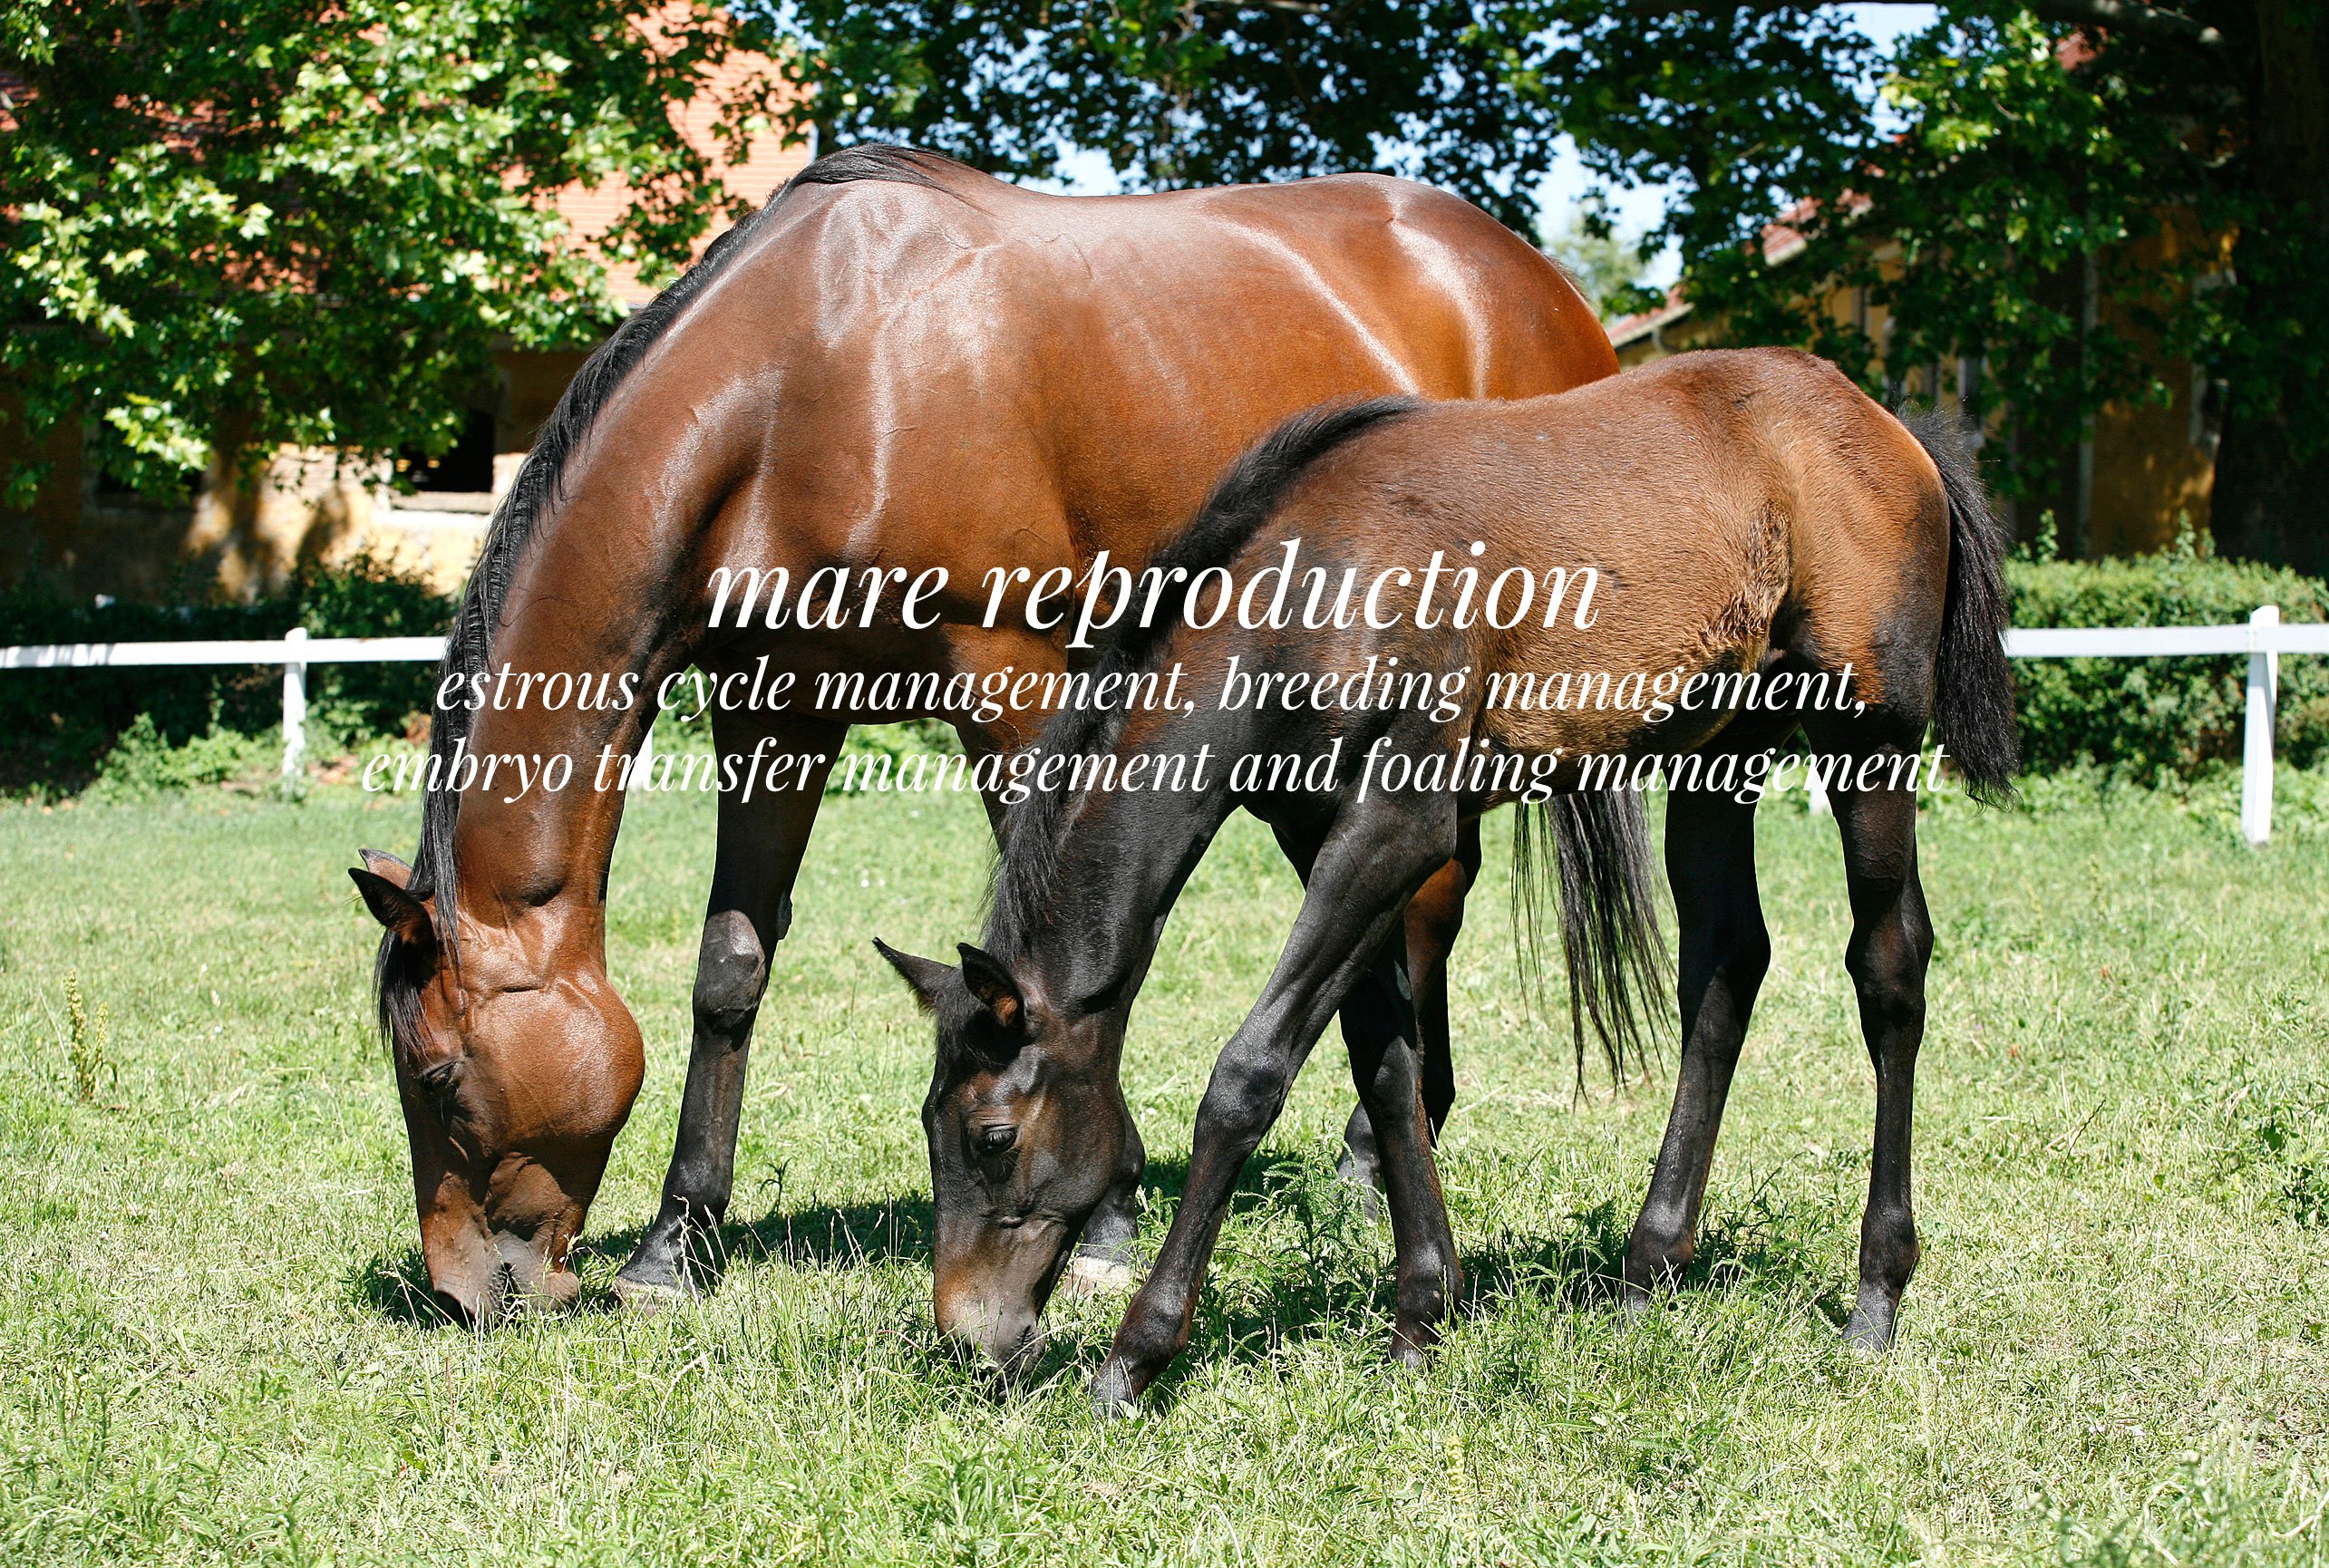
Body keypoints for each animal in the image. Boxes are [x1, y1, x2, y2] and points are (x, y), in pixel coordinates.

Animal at [346, 143, 1618, 1323]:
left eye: (437, 1074)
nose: (464, 1293)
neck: (814, 377)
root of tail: (1531, 277)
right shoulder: (776, 705)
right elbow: (729, 969)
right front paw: (675, 1244)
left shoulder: (1010, 679)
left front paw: (1106, 1220)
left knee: (1427, 899)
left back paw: (1367, 1157)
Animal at [877, 348, 2018, 1404]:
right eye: (930, 1126)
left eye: (989, 1135)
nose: (967, 1335)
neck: (1308, 591)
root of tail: (1891, 429)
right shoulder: (1320, 833)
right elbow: (1385, 1063)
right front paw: (1421, 1315)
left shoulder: (1398, 826)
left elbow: (1248, 1074)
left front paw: (1135, 1355)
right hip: (1719, 751)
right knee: (1726, 961)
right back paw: (1647, 1269)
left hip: (1868, 734)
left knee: (1887, 967)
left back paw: (1873, 1297)